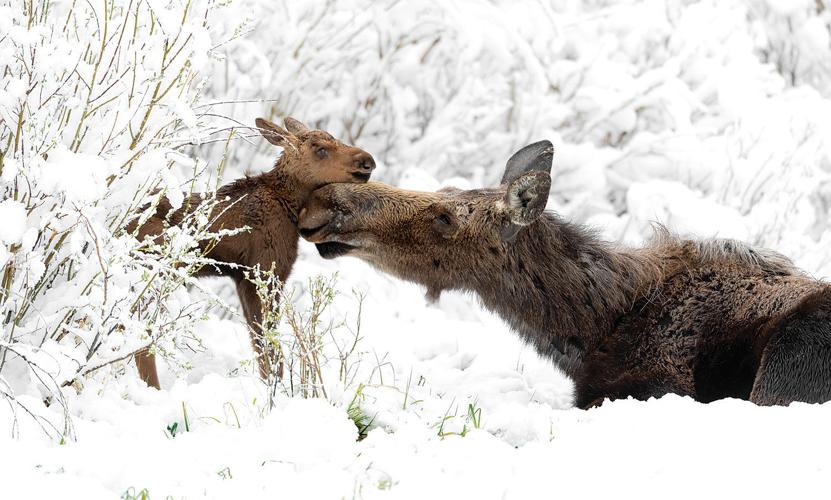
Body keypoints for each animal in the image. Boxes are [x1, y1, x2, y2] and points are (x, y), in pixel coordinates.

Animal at [129, 116, 375, 389]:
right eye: (320, 149)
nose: (367, 160)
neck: (289, 206)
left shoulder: (242, 278)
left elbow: (260, 347)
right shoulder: (264, 274)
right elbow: (268, 348)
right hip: (158, 273)